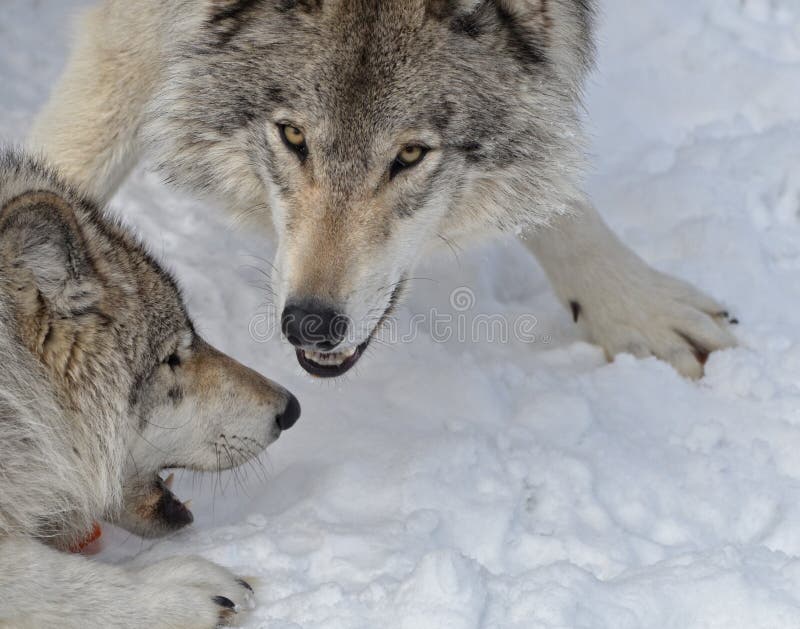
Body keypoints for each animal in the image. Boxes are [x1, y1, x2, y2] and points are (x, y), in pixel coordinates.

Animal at [30, 0, 737, 380]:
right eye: (293, 136)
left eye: (410, 154)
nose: (310, 323)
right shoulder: (130, 44)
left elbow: (556, 180)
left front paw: (636, 311)